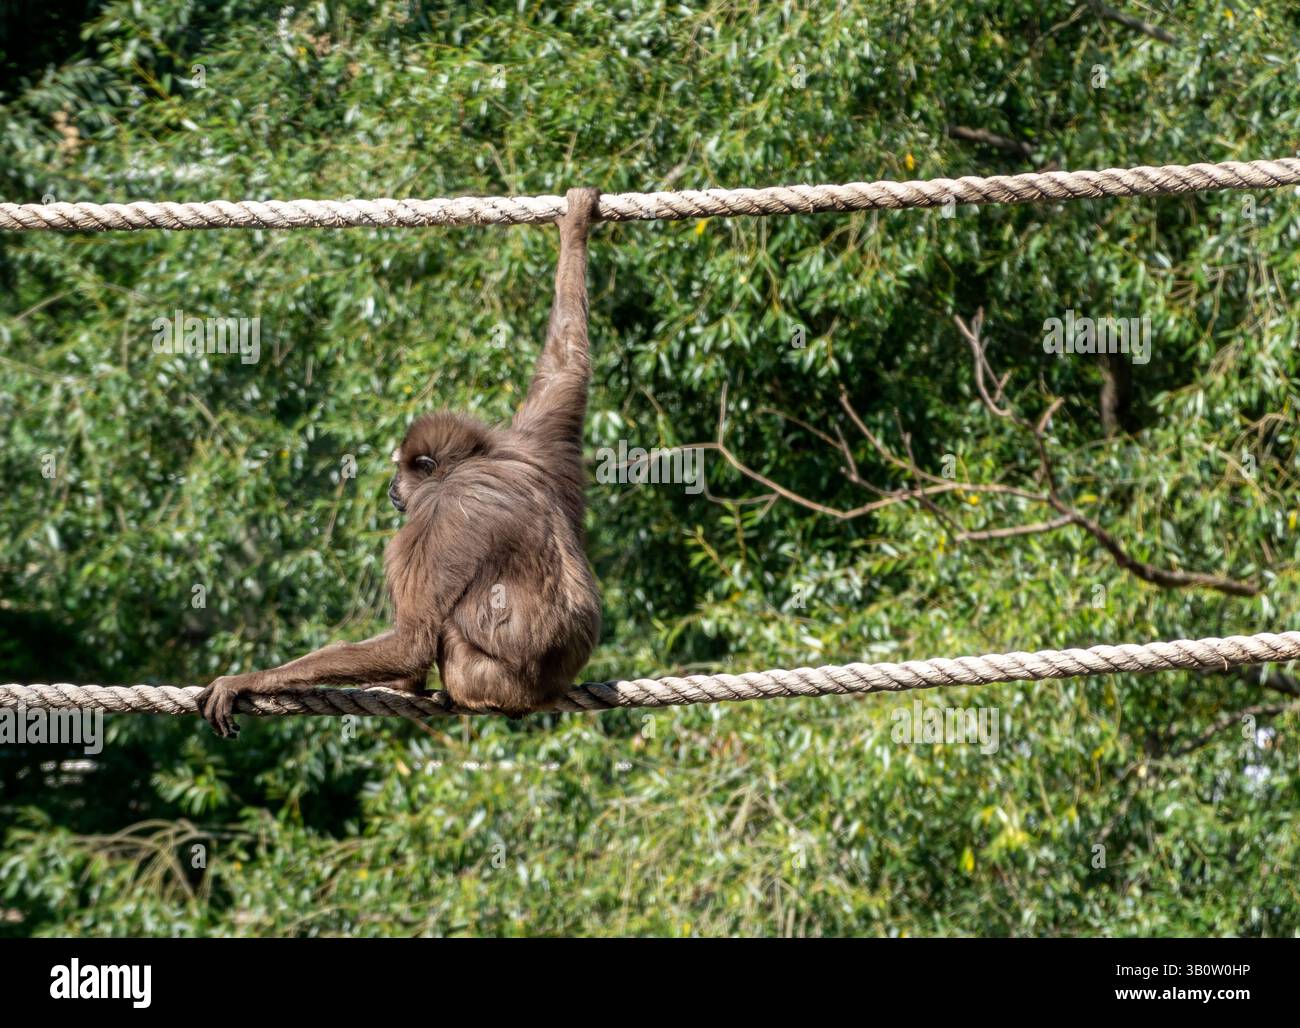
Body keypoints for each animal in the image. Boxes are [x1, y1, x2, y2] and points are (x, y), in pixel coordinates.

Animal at [196, 187, 604, 737]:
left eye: (397, 469)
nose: (390, 487)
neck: (472, 463)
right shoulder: (526, 447)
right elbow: (565, 367)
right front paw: (574, 224)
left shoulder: (434, 517)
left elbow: (412, 639)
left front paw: (251, 680)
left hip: (482, 675)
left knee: (442, 633)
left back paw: (414, 687)